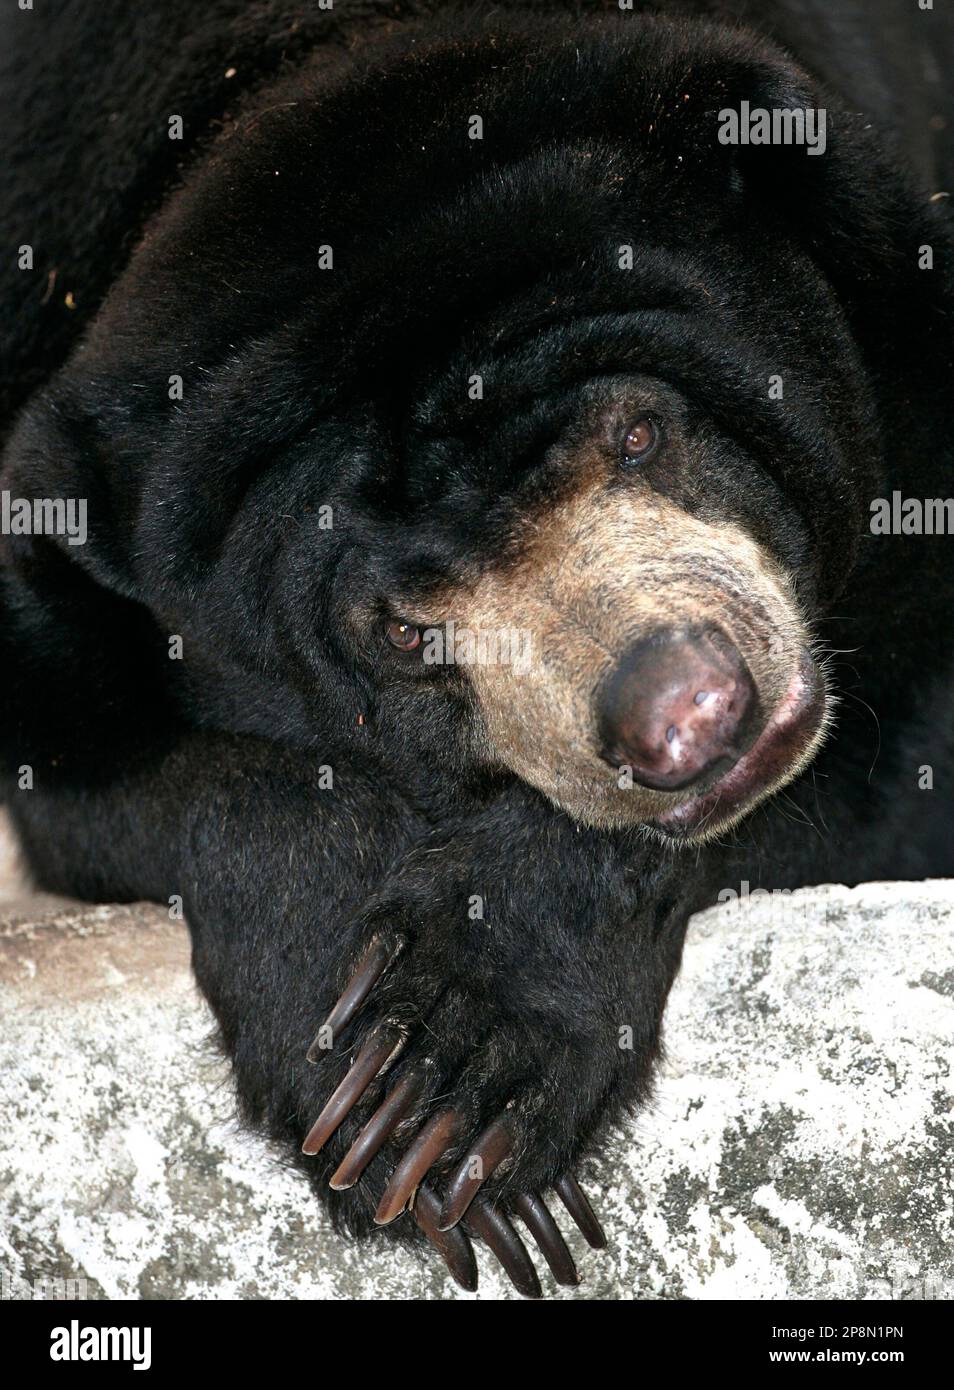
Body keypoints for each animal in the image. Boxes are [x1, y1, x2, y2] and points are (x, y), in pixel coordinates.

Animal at [1, 0, 953, 1298]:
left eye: (638, 432)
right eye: (406, 630)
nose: (691, 714)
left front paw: (457, 1058)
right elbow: (95, 780)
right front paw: (371, 1082)